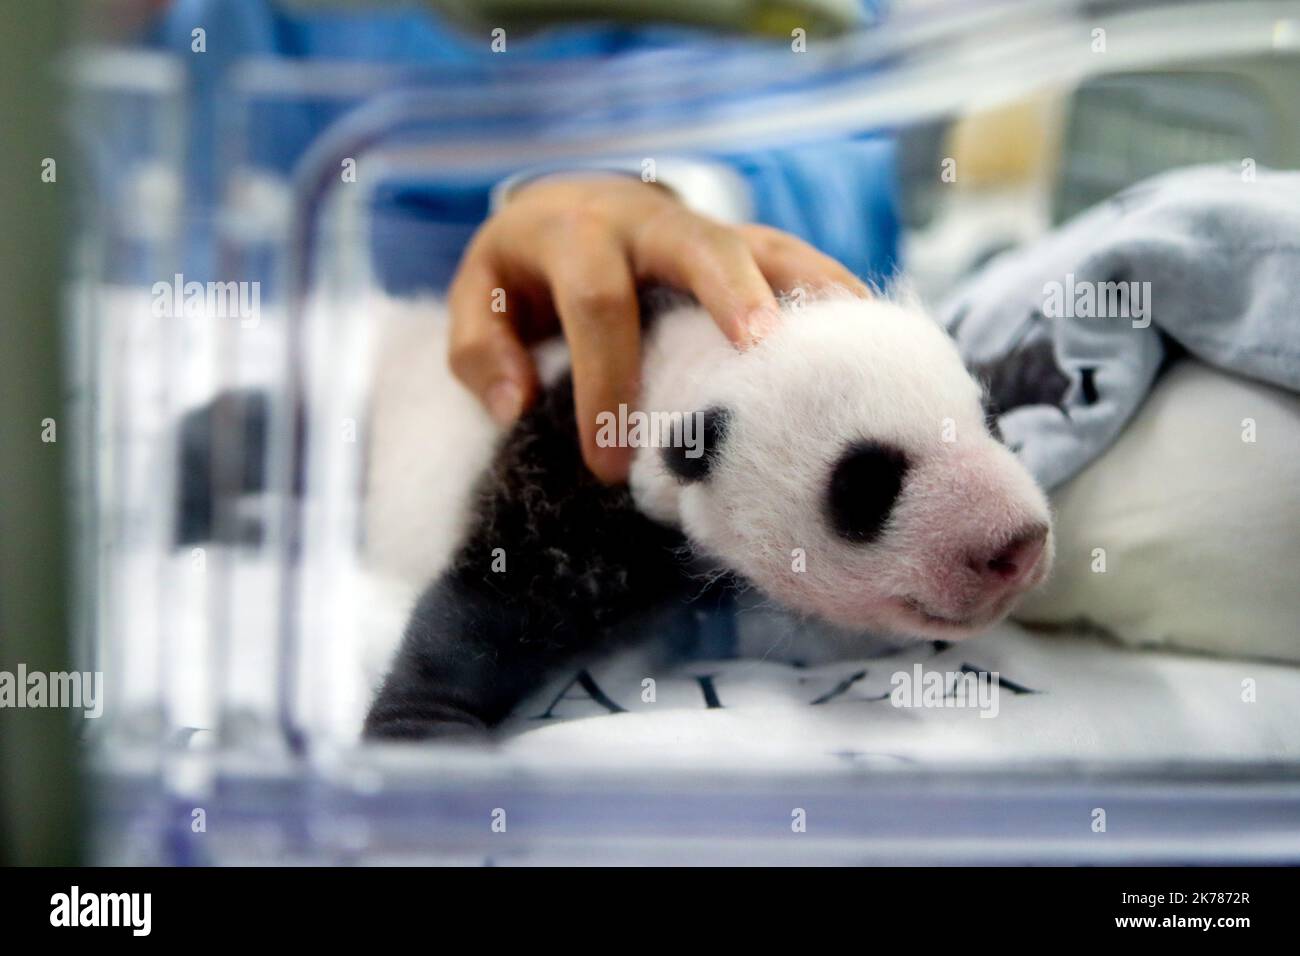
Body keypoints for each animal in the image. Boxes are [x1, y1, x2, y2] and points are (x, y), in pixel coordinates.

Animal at [362, 290, 1054, 740]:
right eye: (866, 486)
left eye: (989, 422)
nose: (1018, 546)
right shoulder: (575, 466)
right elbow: (499, 594)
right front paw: (421, 726)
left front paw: (1033, 371)